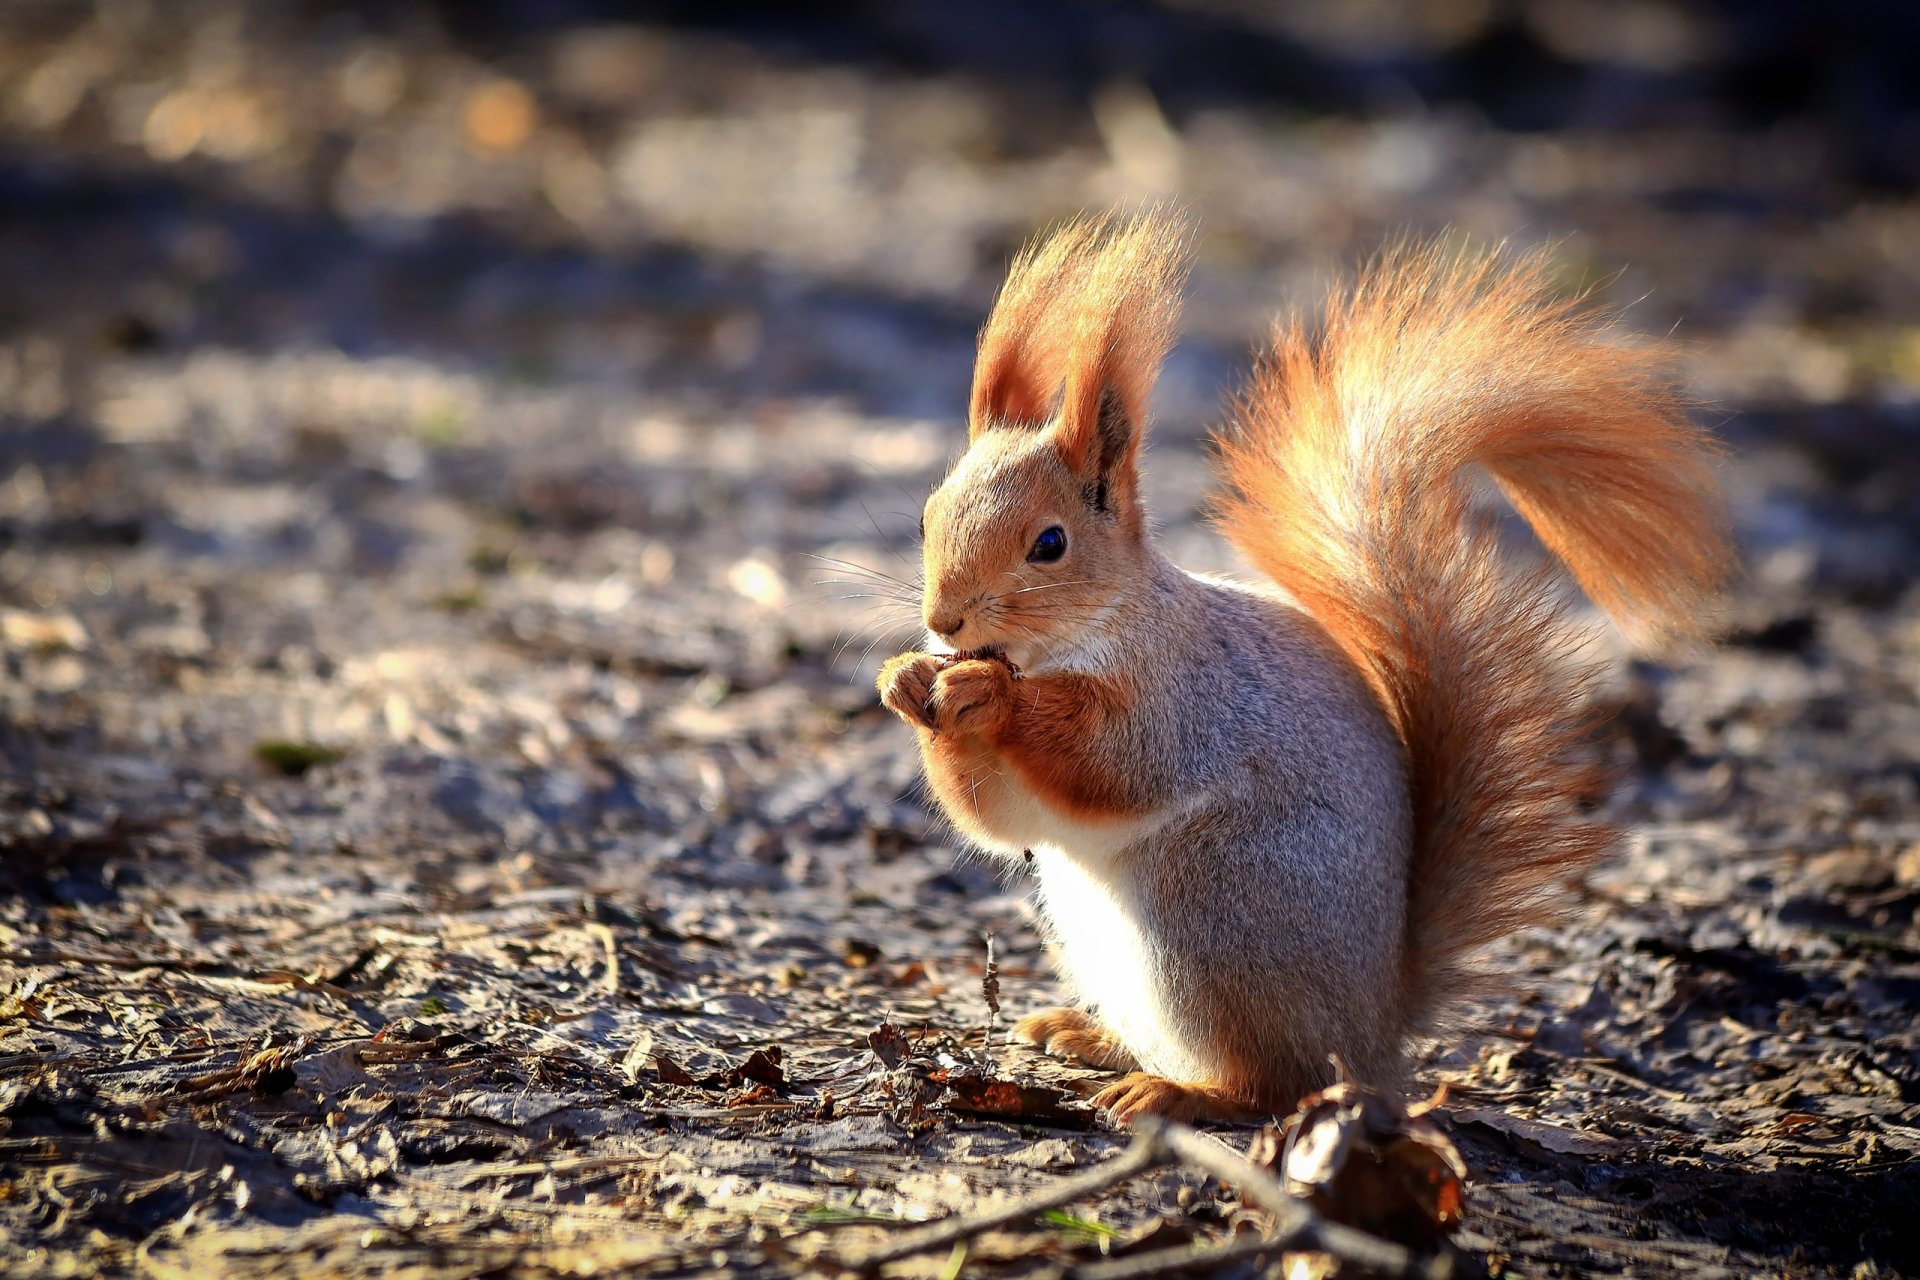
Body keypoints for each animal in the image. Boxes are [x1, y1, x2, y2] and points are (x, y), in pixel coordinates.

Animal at [876, 212, 1733, 1123]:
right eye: (927, 515)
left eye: (1049, 543)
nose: (943, 620)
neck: (1081, 638)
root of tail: (1376, 1029)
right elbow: (996, 819)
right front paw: (907, 681)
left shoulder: (1187, 698)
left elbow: (1111, 763)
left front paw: (986, 692)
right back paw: (1087, 1035)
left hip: (1212, 925)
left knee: (1274, 1083)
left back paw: (1173, 1091)